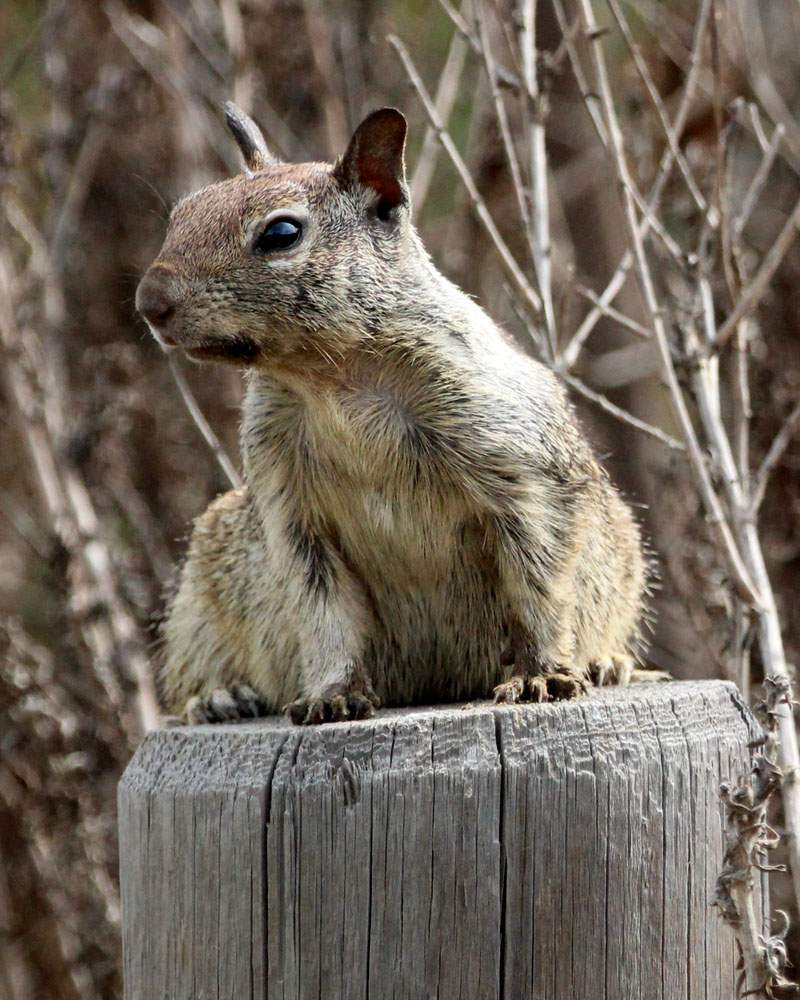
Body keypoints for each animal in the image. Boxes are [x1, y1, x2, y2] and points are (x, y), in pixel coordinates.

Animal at [135, 103, 656, 725]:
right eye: (182, 212)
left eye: (281, 233)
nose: (149, 302)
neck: (334, 383)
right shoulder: (291, 511)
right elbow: (323, 611)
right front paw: (332, 694)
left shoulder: (527, 478)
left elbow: (541, 587)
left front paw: (544, 673)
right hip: (200, 595)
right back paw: (219, 697)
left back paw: (607, 663)